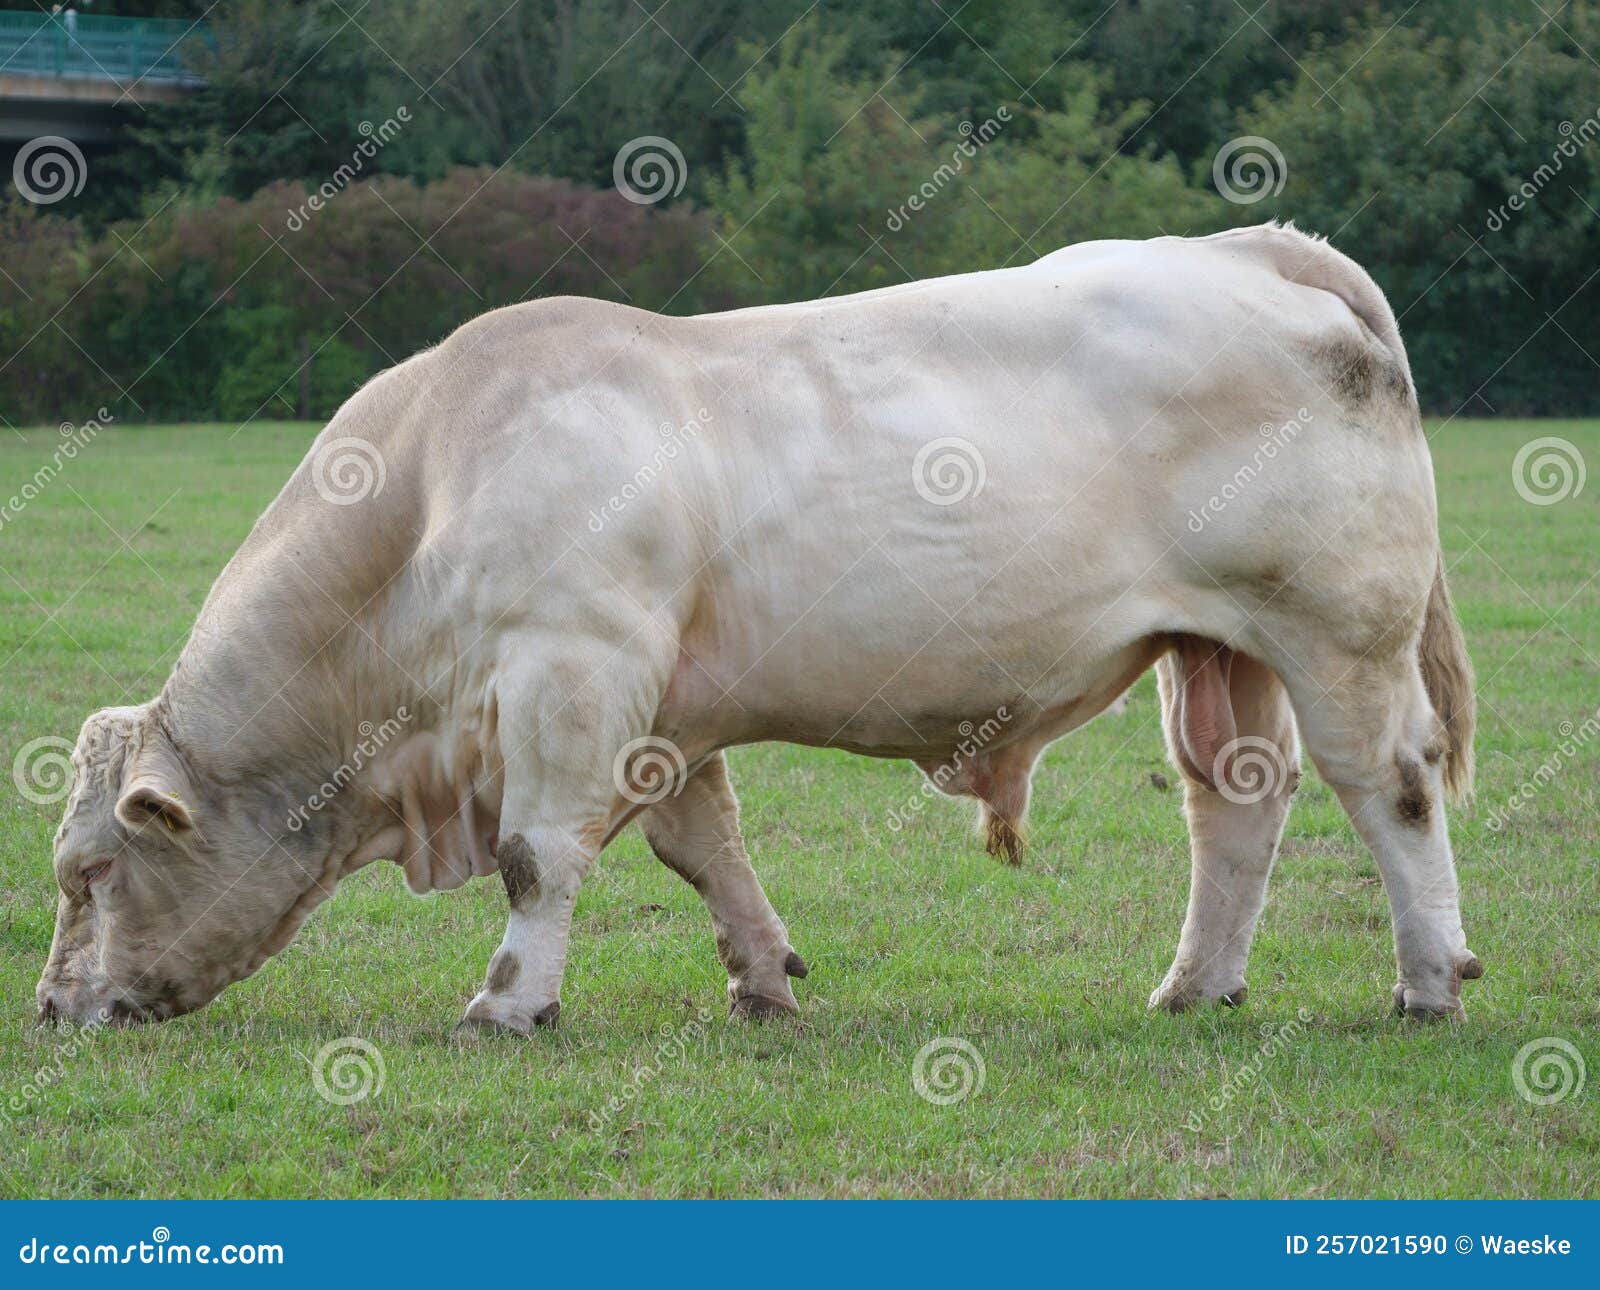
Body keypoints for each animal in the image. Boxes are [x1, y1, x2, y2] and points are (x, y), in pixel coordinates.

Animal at [37, 222, 1481, 1033]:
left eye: (91, 872)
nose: (54, 1013)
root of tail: (1249, 246)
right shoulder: (661, 707)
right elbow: (702, 848)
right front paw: (763, 981)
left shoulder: (572, 667)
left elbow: (535, 856)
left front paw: (508, 1002)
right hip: (1221, 647)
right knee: (1236, 801)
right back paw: (1195, 988)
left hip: (1338, 630)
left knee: (1390, 789)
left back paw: (1425, 981)